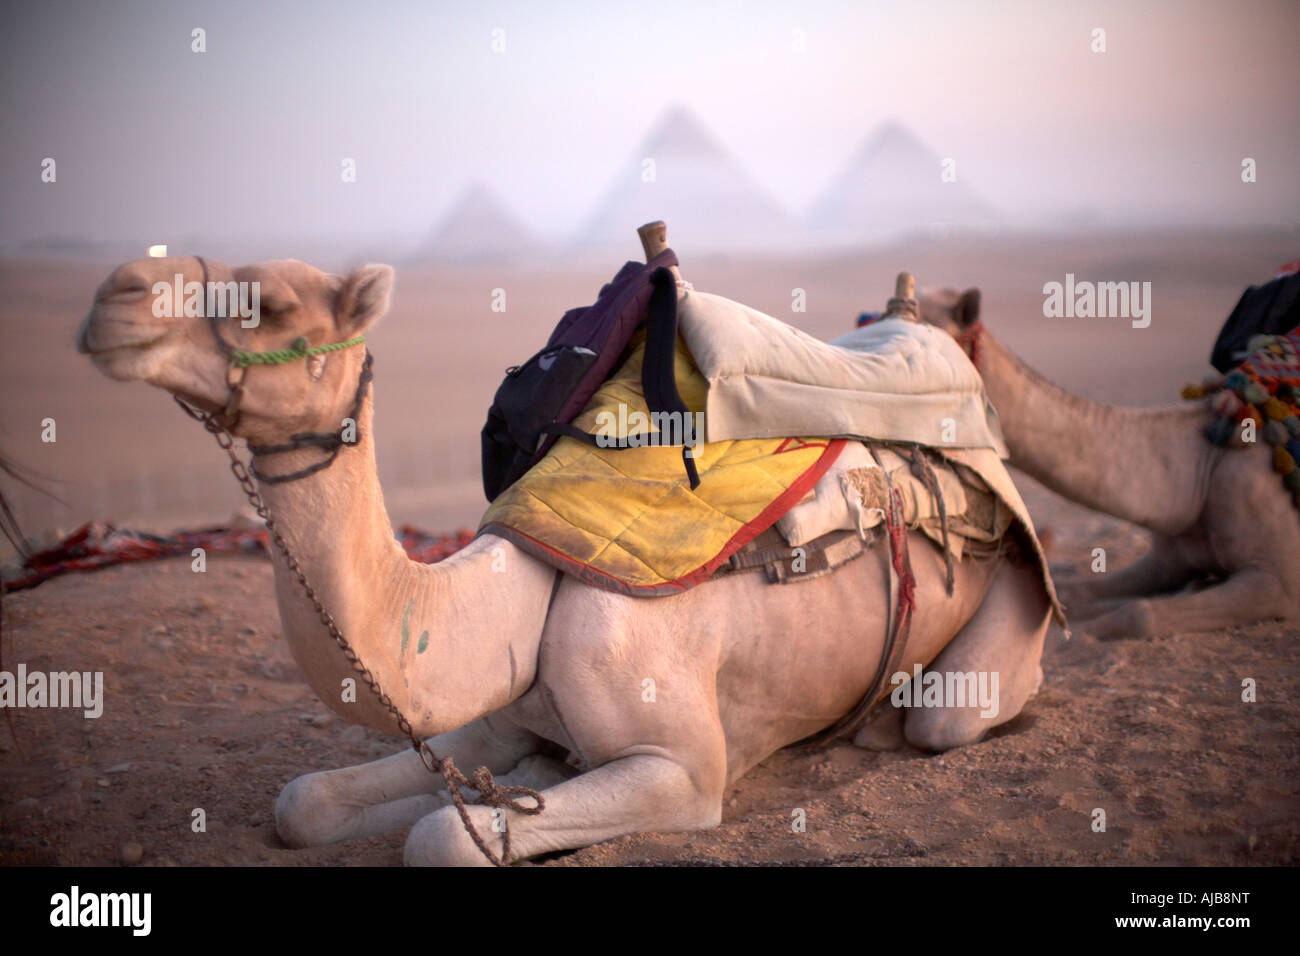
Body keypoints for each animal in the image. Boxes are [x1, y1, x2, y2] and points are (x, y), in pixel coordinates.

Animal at [76, 242, 1052, 866]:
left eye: (271, 307)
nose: (115, 293)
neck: (525, 593)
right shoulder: (493, 718)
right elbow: (305, 800)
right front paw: (515, 777)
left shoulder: (683, 772)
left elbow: (441, 838)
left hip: (1005, 612)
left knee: (949, 718)